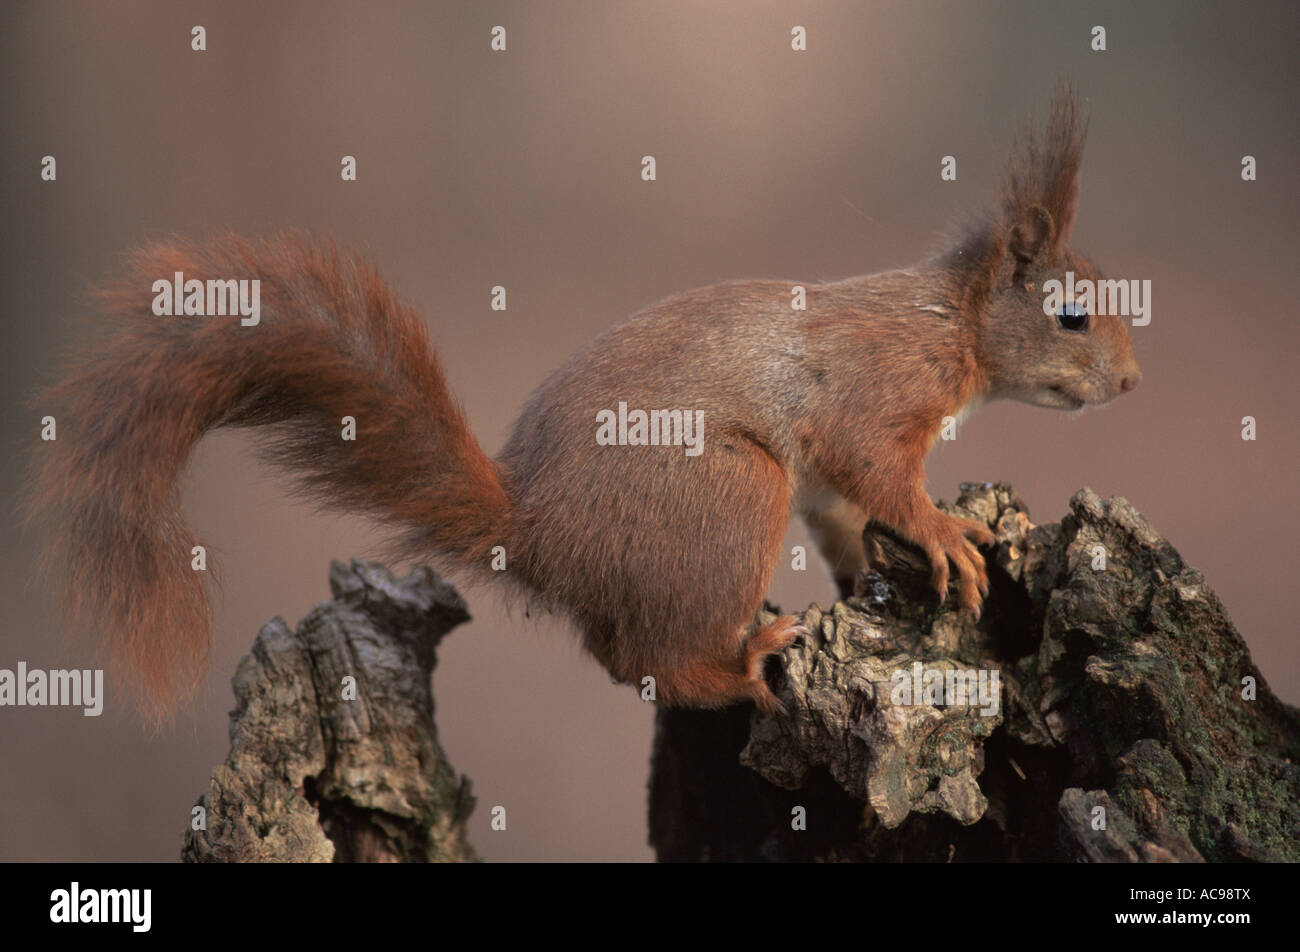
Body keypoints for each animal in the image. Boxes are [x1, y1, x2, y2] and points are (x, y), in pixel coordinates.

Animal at [27, 89, 1139, 722]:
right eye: (1073, 315)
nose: (1130, 385)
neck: (953, 324)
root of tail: (538, 532)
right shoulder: (875, 393)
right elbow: (879, 471)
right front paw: (945, 533)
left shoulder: (829, 483)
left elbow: (844, 516)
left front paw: (869, 569)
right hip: (729, 492)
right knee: (655, 660)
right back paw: (741, 666)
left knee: (616, 658)